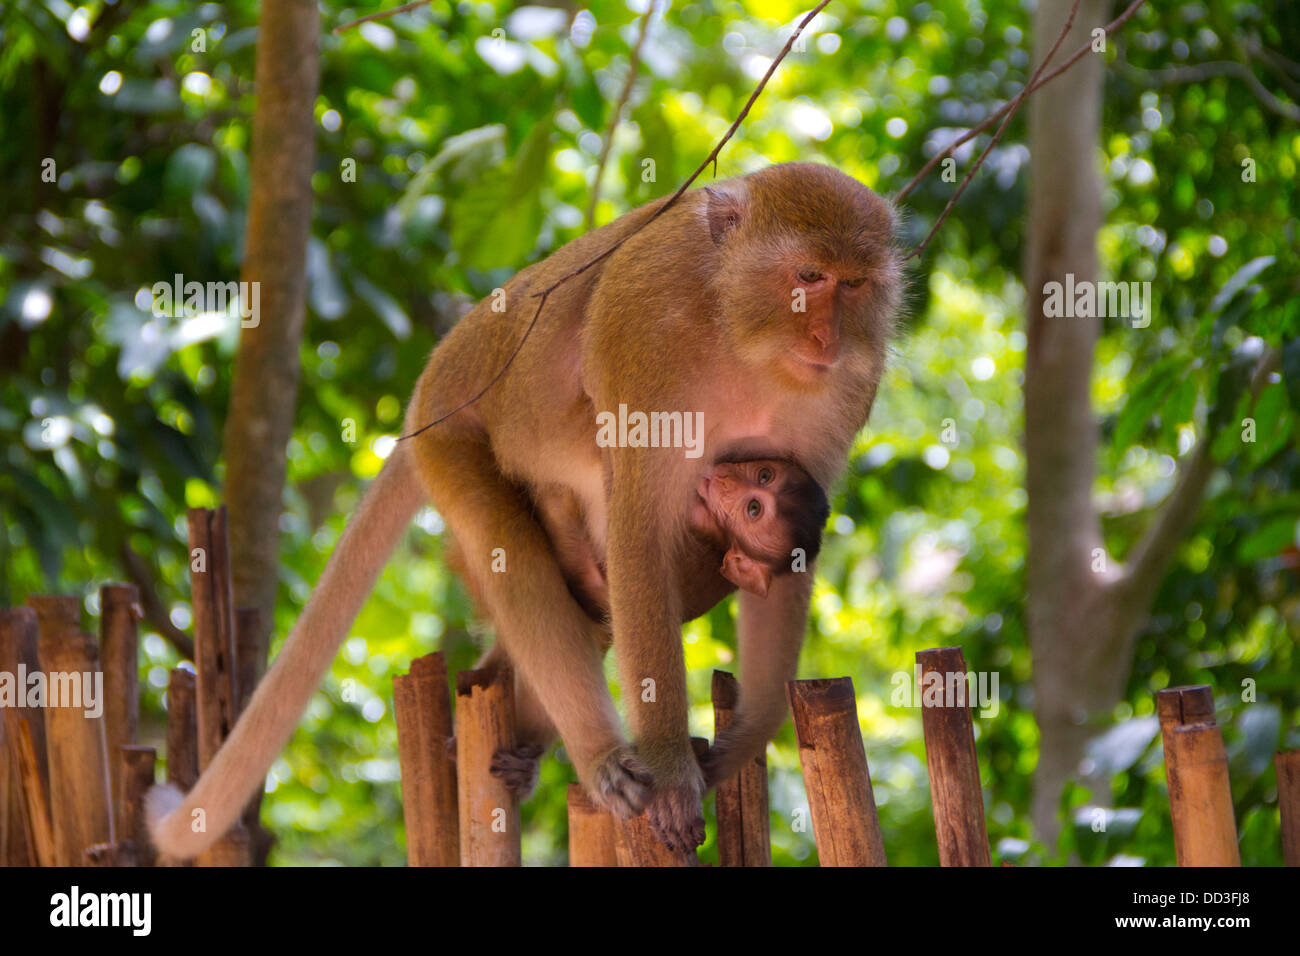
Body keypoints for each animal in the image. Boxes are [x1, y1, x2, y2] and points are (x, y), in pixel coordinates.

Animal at [147, 161, 900, 858]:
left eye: (854, 284)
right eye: (809, 276)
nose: (827, 341)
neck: (739, 334)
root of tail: (429, 387)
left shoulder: (845, 395)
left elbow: (787, 563)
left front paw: (744, 741)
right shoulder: (645, 334)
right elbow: (638, 539)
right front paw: (672, 770)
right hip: (449, 442)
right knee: (511, 543)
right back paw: (601, 757)